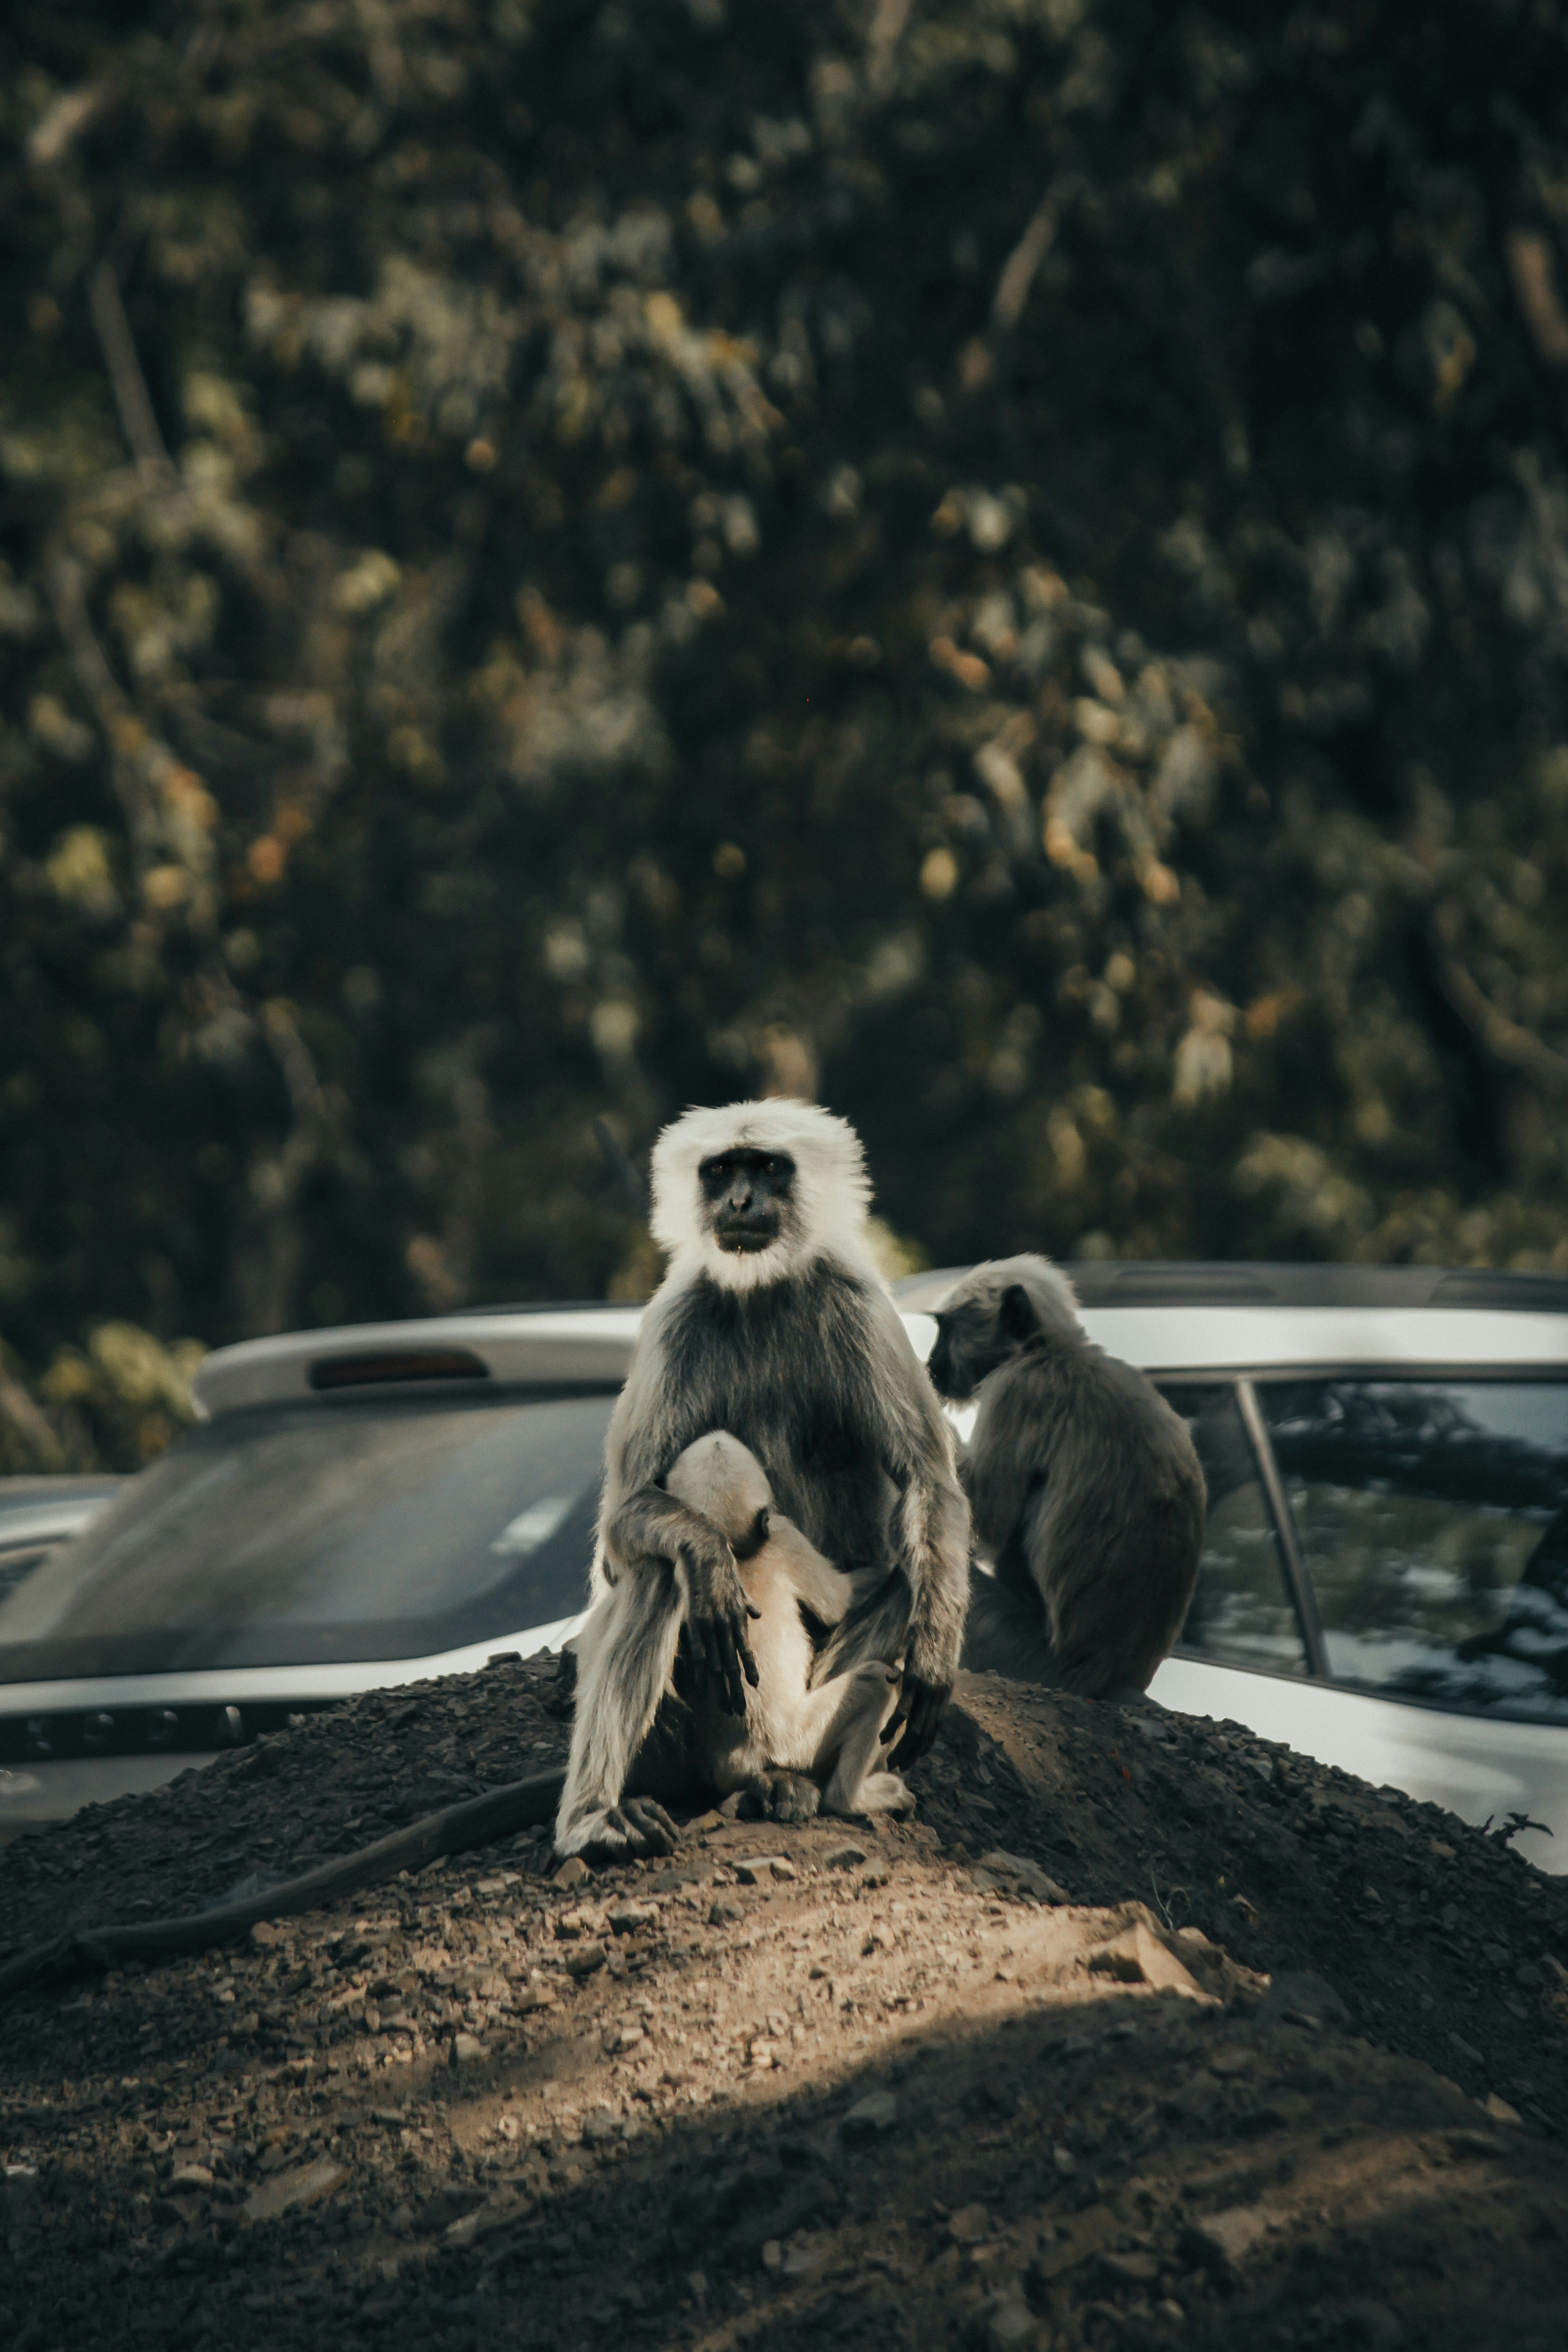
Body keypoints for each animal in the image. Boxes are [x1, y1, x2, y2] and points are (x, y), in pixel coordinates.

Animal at [554, 1099, 970, 1860]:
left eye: (769, 1168)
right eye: (722, 1172)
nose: (741, 1202)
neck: (763, 1291)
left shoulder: (859, 1300)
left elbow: (928, 1479)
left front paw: (931, 1660)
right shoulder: (674, 1319)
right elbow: (622, 1526)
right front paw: (710, 1559)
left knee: (908, 1574)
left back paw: (793, 1780)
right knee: (656, 1575)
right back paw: (596, 1818)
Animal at [926, 1254, 1204, 1702]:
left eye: (947, 1331)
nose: (930, 1365)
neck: (1055, 1351)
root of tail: (1111, 1678)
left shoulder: (1018, 1388)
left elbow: (985, 1520)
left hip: (1020, 1653)